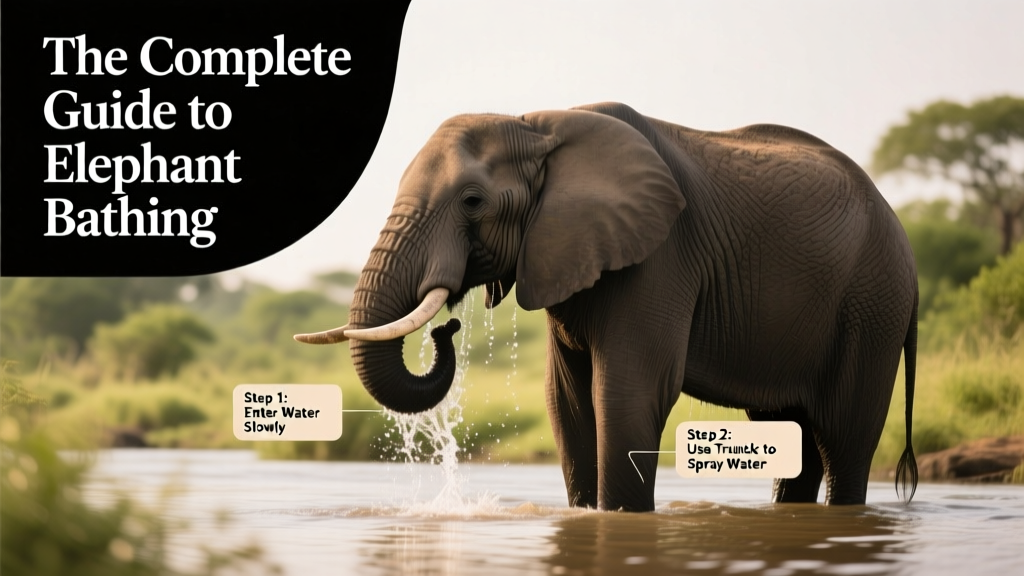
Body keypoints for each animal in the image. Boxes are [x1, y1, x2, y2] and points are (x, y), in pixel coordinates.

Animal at [295, 102, 919, 512]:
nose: (446, 327)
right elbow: (567, 399)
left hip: (872, 304)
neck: (538, 123)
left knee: (843, 435)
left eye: (472, 201)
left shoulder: (660, 257)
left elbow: (626, 392)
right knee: (791, 432)